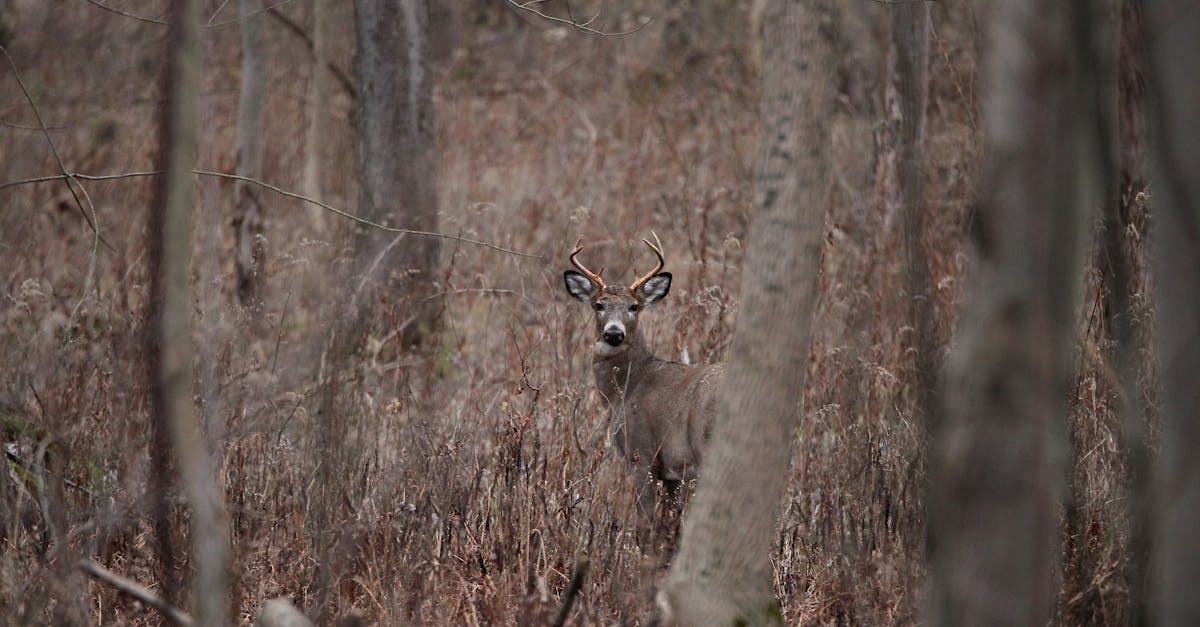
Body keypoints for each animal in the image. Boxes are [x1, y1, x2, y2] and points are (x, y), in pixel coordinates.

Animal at [559, 231, 720, 533]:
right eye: (599, 305)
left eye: (634, 307)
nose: (614, 333)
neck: (626, 389)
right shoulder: (672, 472)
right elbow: (670, 524)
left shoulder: (640, 453)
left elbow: (646, 524)